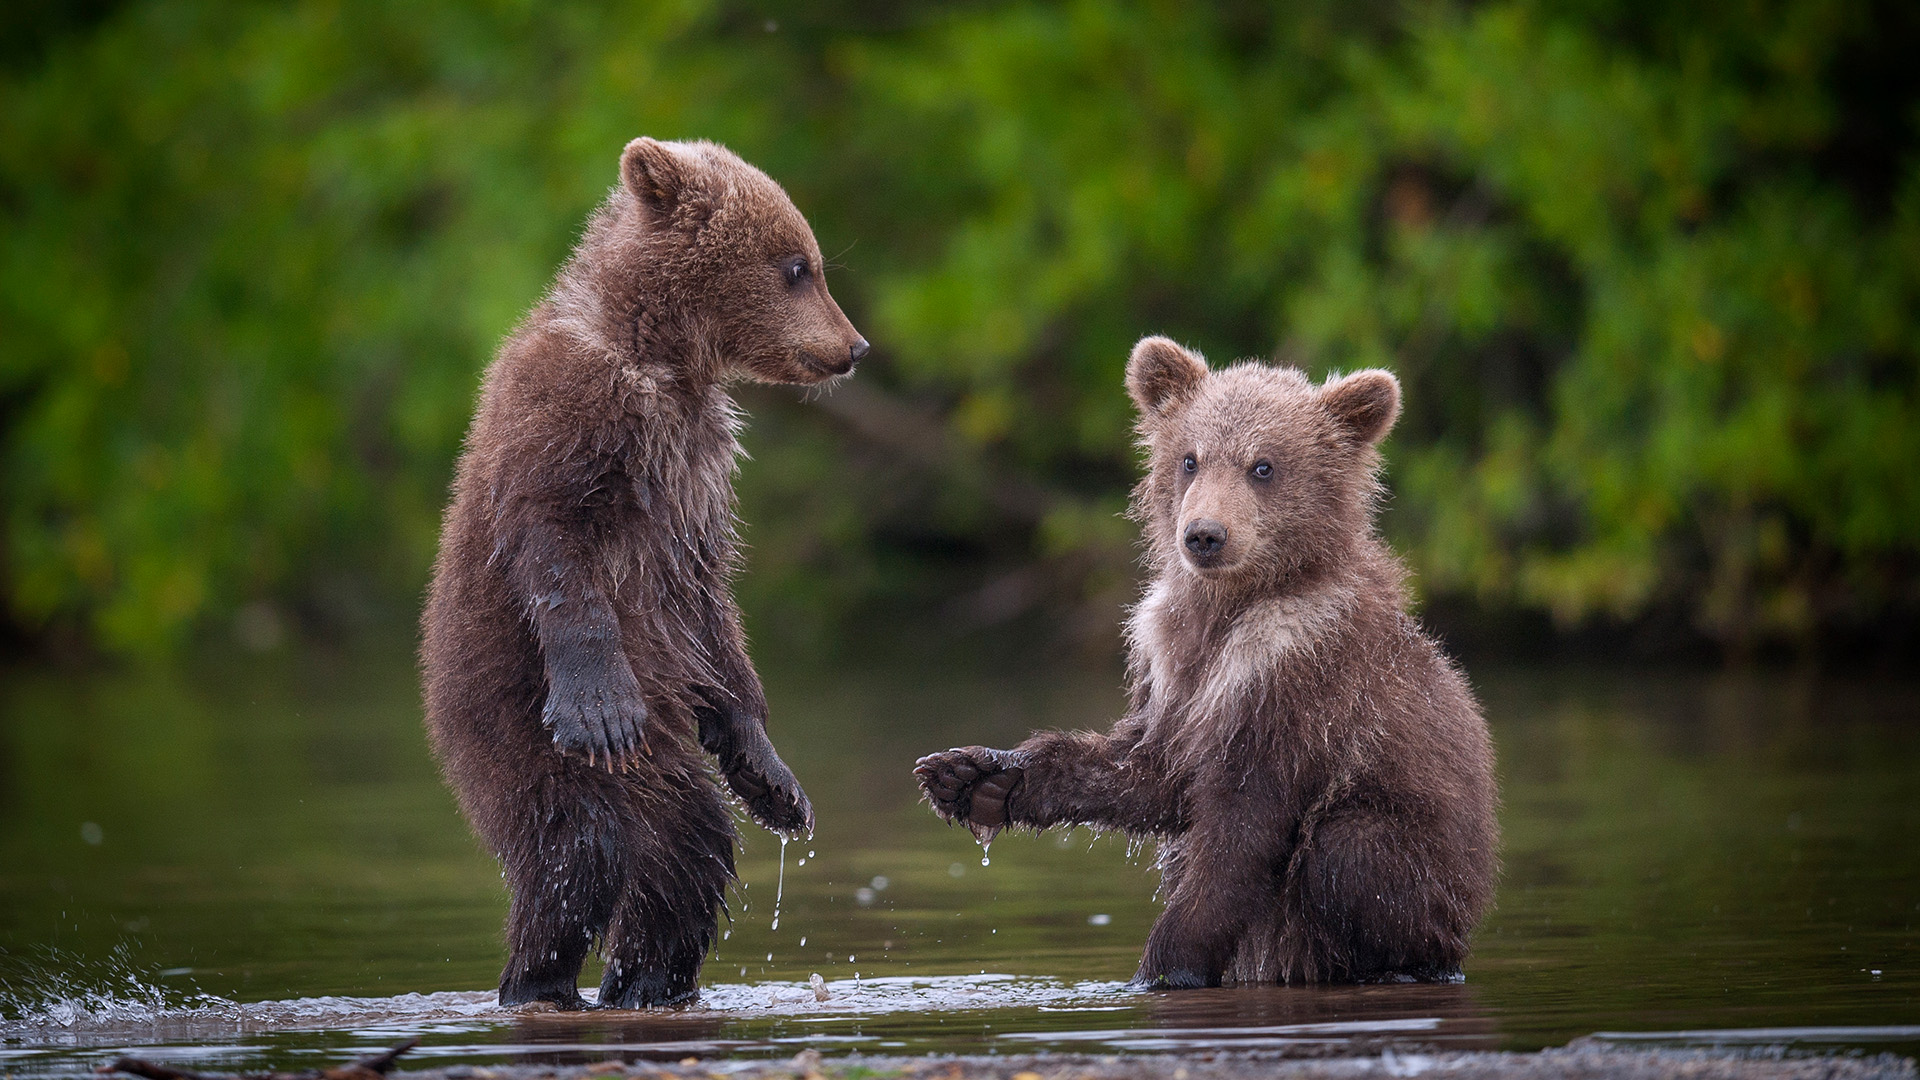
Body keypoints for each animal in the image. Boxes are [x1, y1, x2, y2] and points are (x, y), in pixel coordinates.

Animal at [421, 137, 867, 1010]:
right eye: (797, 266)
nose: (855, 347)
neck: (661, 358)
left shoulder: (698, 479)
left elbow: (712, 615)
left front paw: (773, 778)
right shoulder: (569, 419)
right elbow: (554, 543)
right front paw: (601, 705)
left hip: (662, 761)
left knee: (684, 845)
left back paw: (646, 979)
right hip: (504, 722)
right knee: (578, 844)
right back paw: (537, 977)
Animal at [915, 336, 1498, 988]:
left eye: (1263, 465)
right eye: (1191, 459)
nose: (1204, 535)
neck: (1229, 610)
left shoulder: (1296, 680)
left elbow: (1238, 832)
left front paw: (1163, 968)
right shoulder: (1171, 665)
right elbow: (1151, 773)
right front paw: (978, 777)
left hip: (1427, 868)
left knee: (1350, 853)